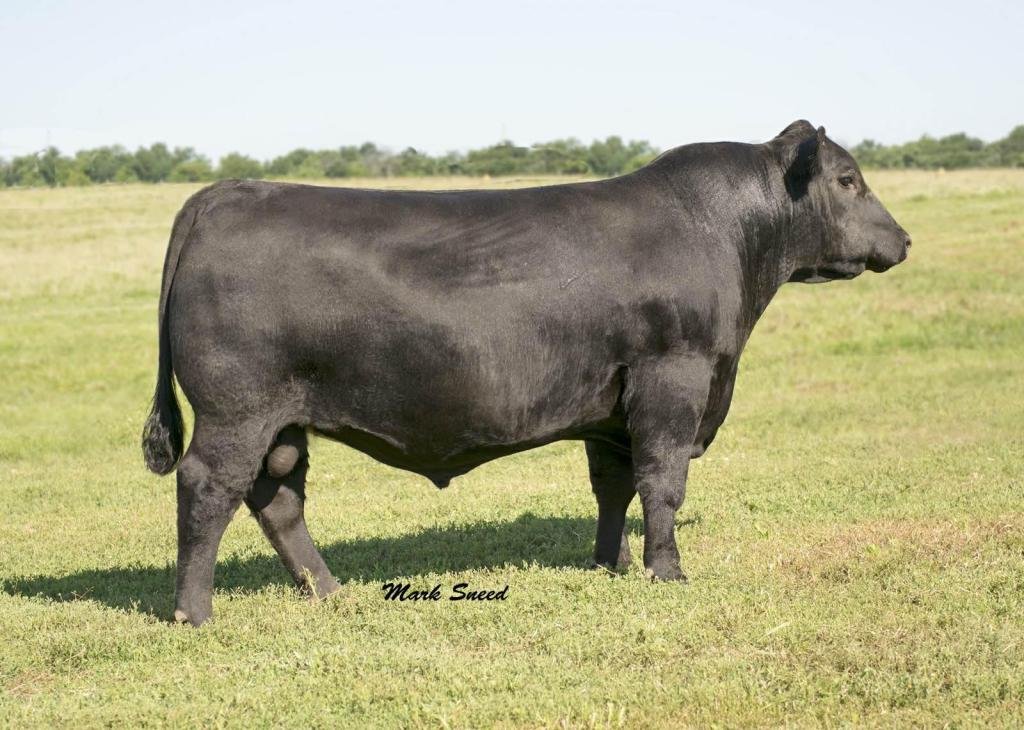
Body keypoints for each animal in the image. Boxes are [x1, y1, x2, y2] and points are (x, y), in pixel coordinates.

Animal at [142, 120, 911, 625]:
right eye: (848, 180)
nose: (902, 239)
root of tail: (223, 194)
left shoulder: (612, 409)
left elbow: (614, 485)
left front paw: (609, 563)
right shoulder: (675, 378)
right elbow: (663, 481)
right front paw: (666, 571)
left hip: (282, 420)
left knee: (277, 497)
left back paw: (327, 592)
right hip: (237, 409)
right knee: (208, 487)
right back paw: (194, 613)